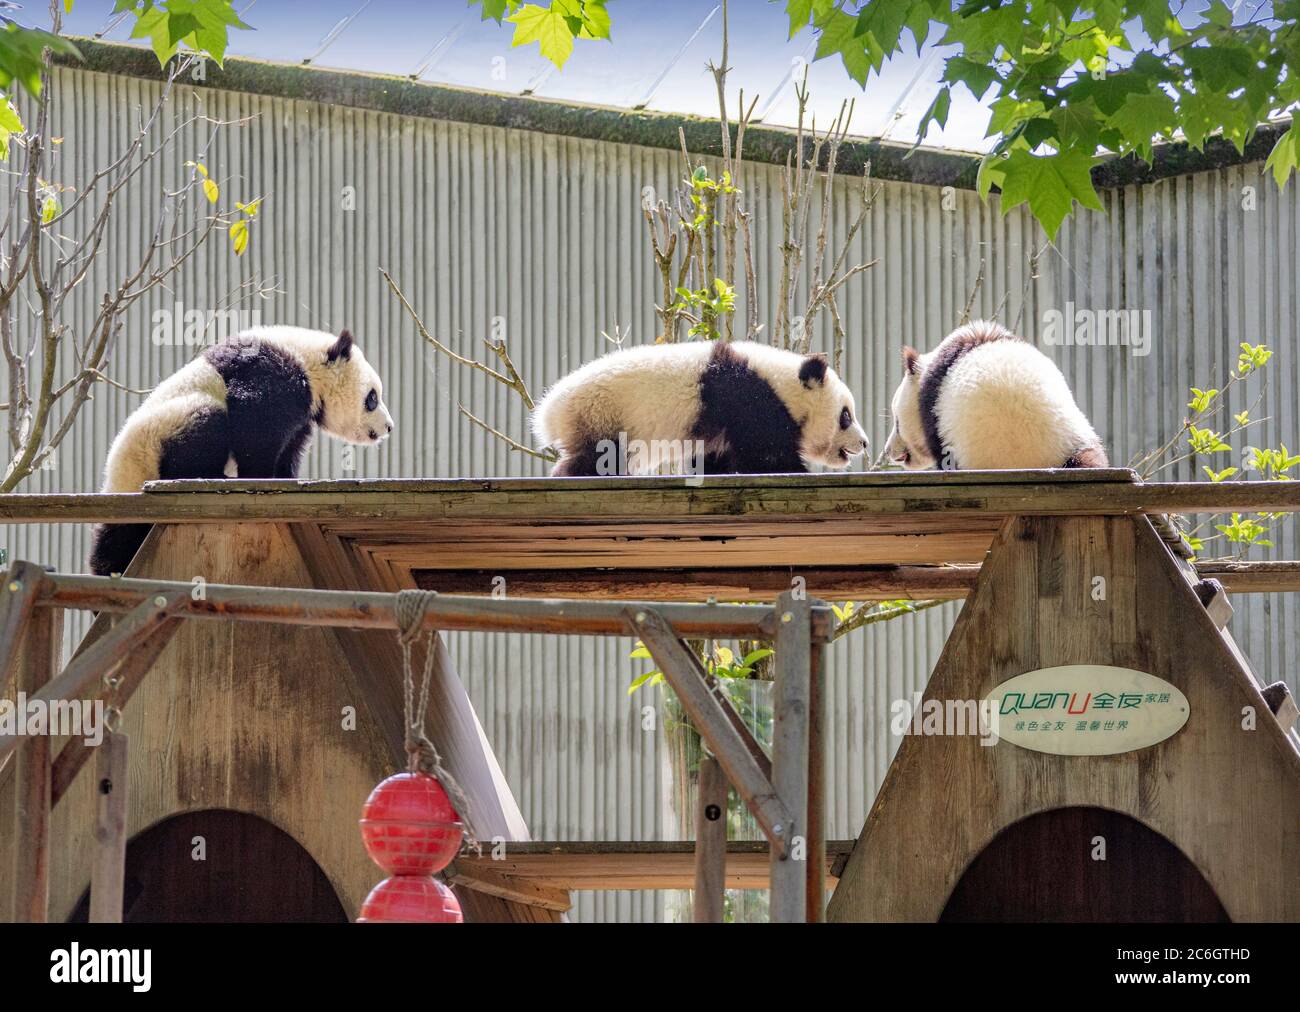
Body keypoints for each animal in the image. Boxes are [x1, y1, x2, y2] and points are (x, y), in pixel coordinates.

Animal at [89, 325, 394, 576]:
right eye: (372, 398)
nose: (389, 427)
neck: (307, 361)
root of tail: (119, 476)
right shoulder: (271, 373)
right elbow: (255, 426)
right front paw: (260, 475)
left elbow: (290, 446)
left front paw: (285, 476)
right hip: (164, 430)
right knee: (203, 428)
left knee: (119, 540)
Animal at [533, 339, 869, 476]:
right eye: (846, 416)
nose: (864, 443)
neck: (783, 385)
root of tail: (549, 410)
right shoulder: (751, 400)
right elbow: (766, 455)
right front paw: (794, 468)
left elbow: (712, 458)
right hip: (603, 414)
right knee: (600, 457)